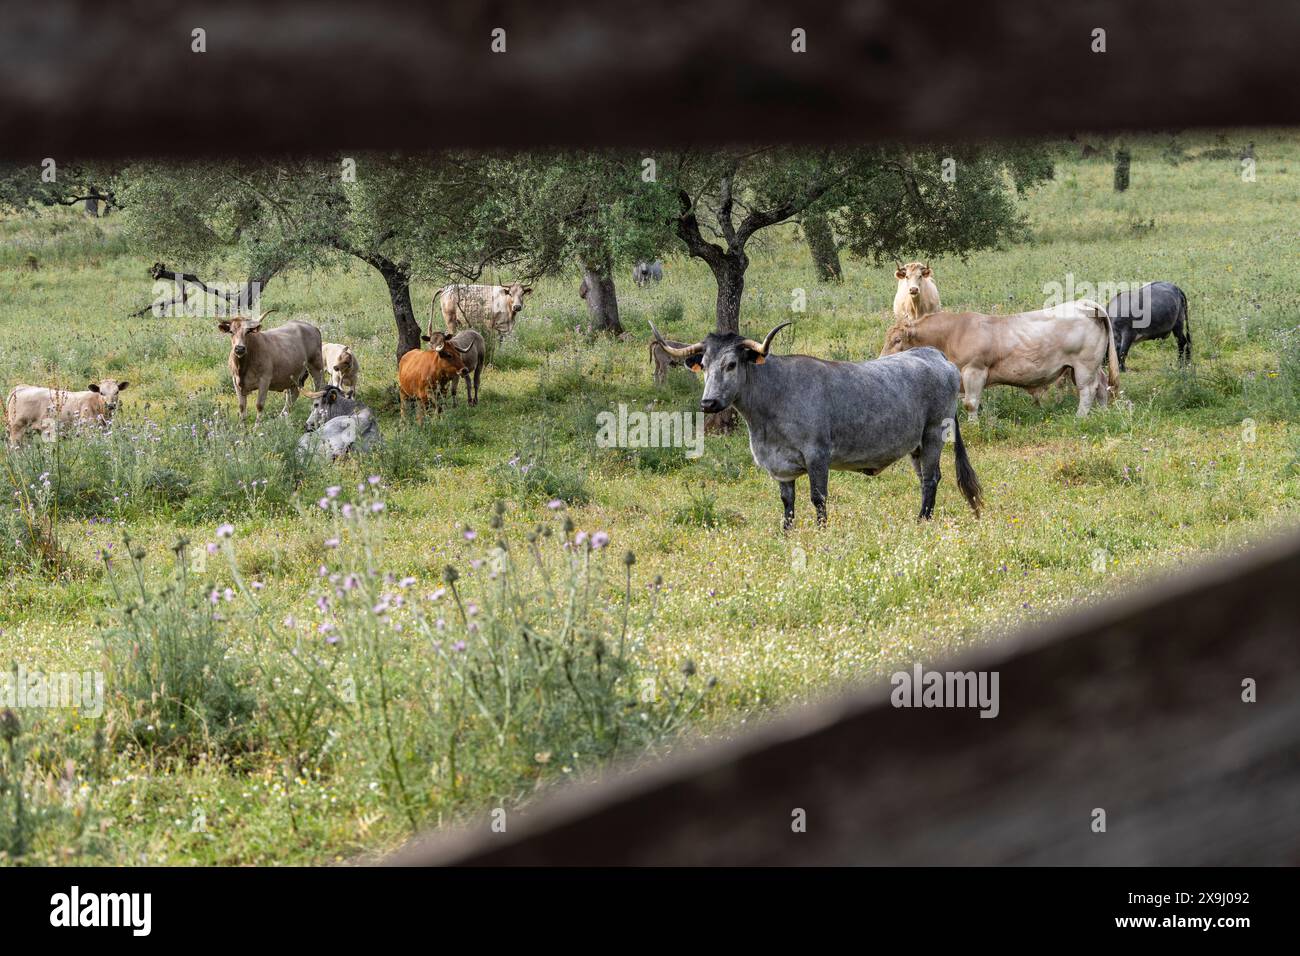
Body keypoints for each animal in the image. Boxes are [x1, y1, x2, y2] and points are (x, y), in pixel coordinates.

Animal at [650, 320, 983, 529]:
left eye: (731, 364)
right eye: (704, 366)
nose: (708, 403)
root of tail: (936, 355)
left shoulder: (818, 456)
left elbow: (818, 499)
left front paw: (822, 533)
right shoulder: (781, 467)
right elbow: (788, 503)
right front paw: (787, 534)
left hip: (934, 434)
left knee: (932, 478)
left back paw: (921, 521)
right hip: (915, 444)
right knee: (924, 478)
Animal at [880, 300, 1120, 420]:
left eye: (897, 340)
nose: (881, 360)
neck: (953, 333)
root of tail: (1083, 305)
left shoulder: (974, 370)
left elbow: (970, 403)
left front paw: (974, 425)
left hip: (1083, 366)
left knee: (1088, 390)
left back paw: (1080, 417)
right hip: (1085, 367)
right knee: (1101, 385)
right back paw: (1102, 413)